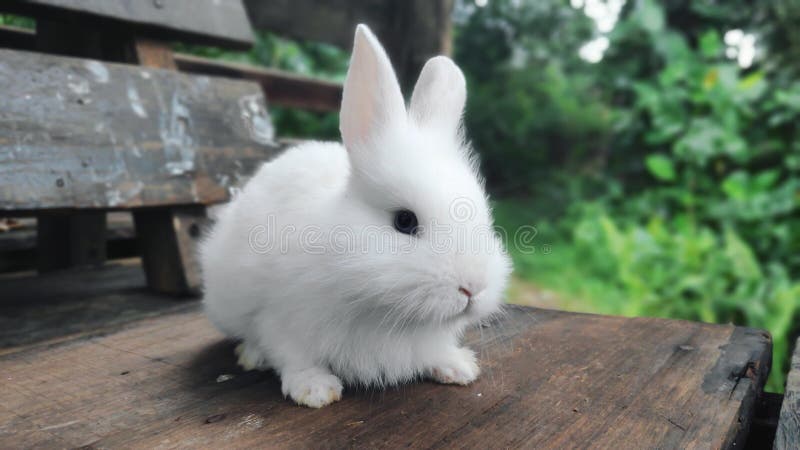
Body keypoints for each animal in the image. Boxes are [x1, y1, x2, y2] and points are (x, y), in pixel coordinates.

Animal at [200, 24, 512, 408]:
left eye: (484, 218)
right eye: (405, 221)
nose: (473, 288)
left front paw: (457, 367)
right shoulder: (282, 318)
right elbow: (293, 356)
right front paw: (315, 390)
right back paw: (252, 357)